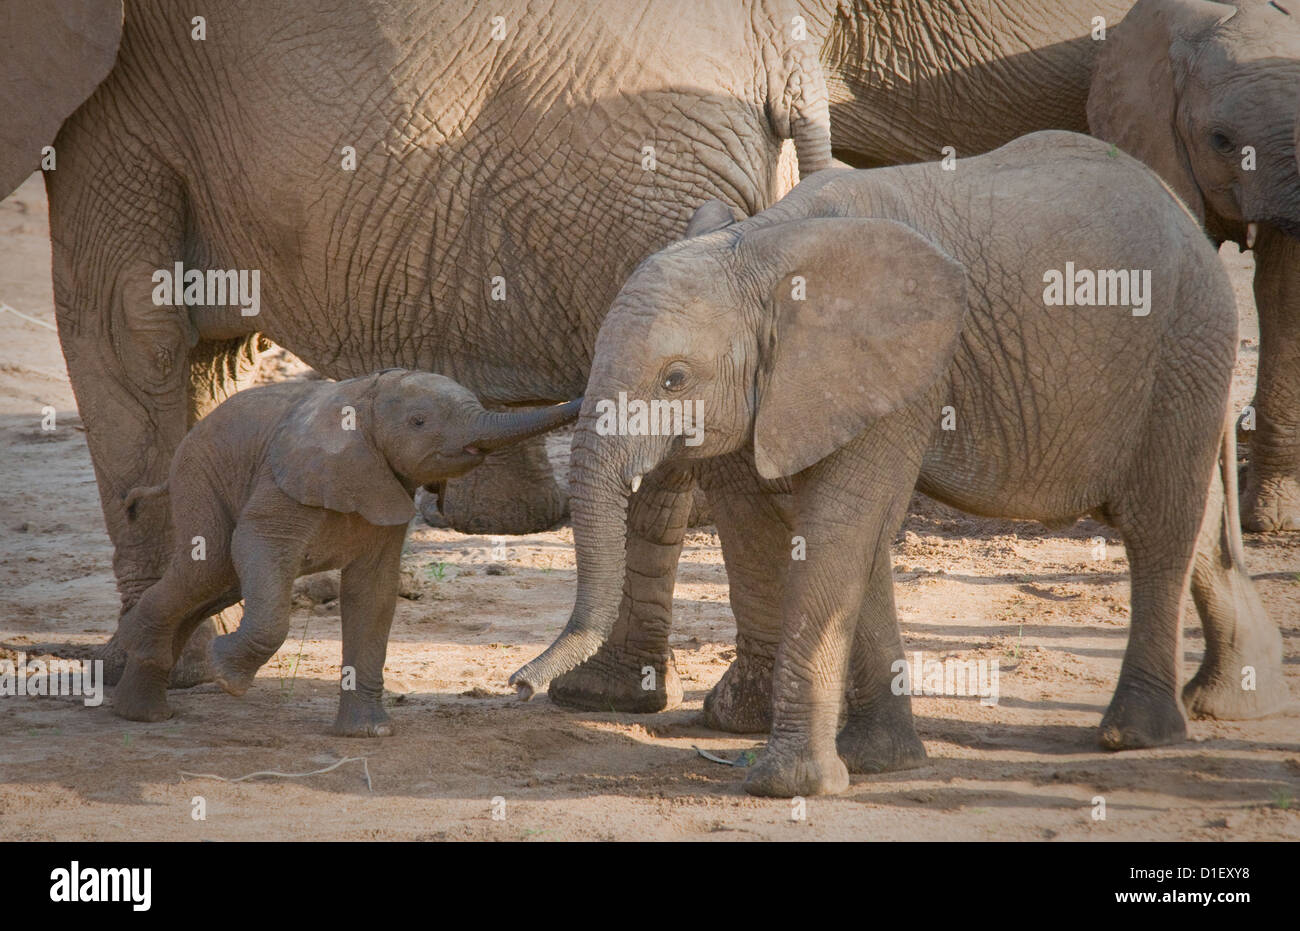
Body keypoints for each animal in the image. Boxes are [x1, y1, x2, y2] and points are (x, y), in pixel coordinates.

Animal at [113, 369, 580, 733]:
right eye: (418, 421)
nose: (517, 688)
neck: (365, 398)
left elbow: (372, 594)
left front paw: (370, 733)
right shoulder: (286, 478)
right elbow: (258, 546)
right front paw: (228, 678)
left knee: (218, 586)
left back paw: (140, 709)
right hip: (200, 475)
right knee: (208, 567)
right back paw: (144, 698)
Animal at [510, 131, 1291, 797]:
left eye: (674, 379)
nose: (517, 686)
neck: (762, 246)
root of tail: (1191, 223)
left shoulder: (906, 372)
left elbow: (838, 528)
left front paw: (790, 787)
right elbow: (854, 537)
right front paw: (878, 763)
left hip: (1186, 340)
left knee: (1158, 525)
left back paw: (1135, 736)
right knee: (1194, 525)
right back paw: (1235, 701)